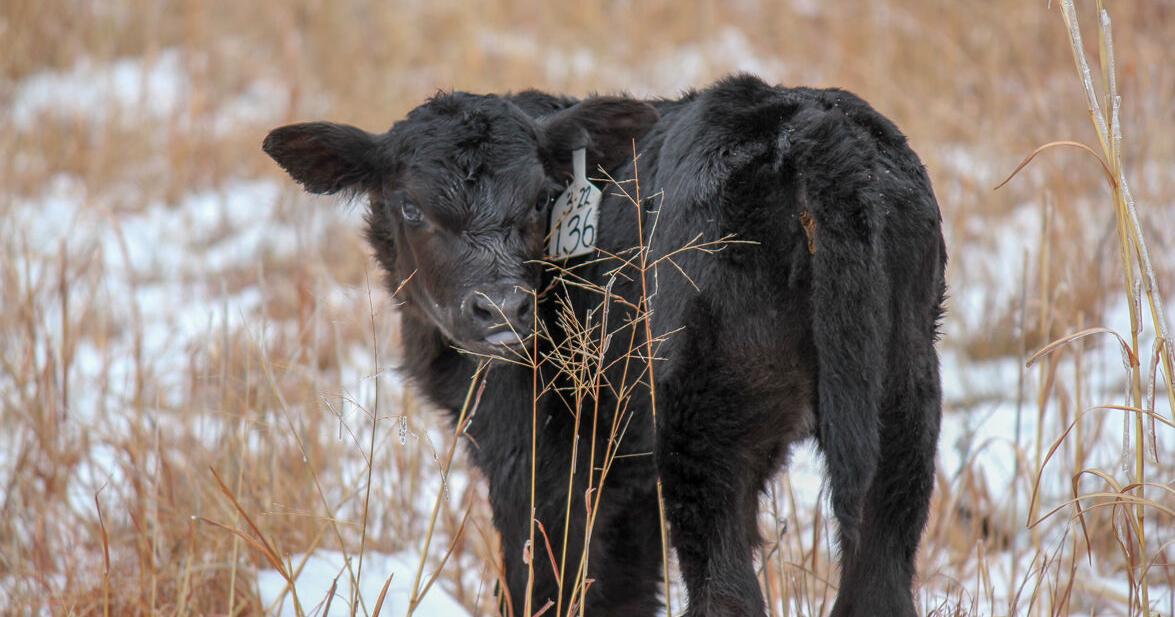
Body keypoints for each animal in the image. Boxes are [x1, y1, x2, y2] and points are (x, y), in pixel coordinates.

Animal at [263, 74, 946, 617]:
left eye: (541, 198)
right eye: (409, 207)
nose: (502, 309)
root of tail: (810, 130)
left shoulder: (536, 461)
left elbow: (545, 589)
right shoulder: (622, 480)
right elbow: (624, 594)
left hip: (706, 426)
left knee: (727, 593)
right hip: (904, 406)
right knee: (879, 584)